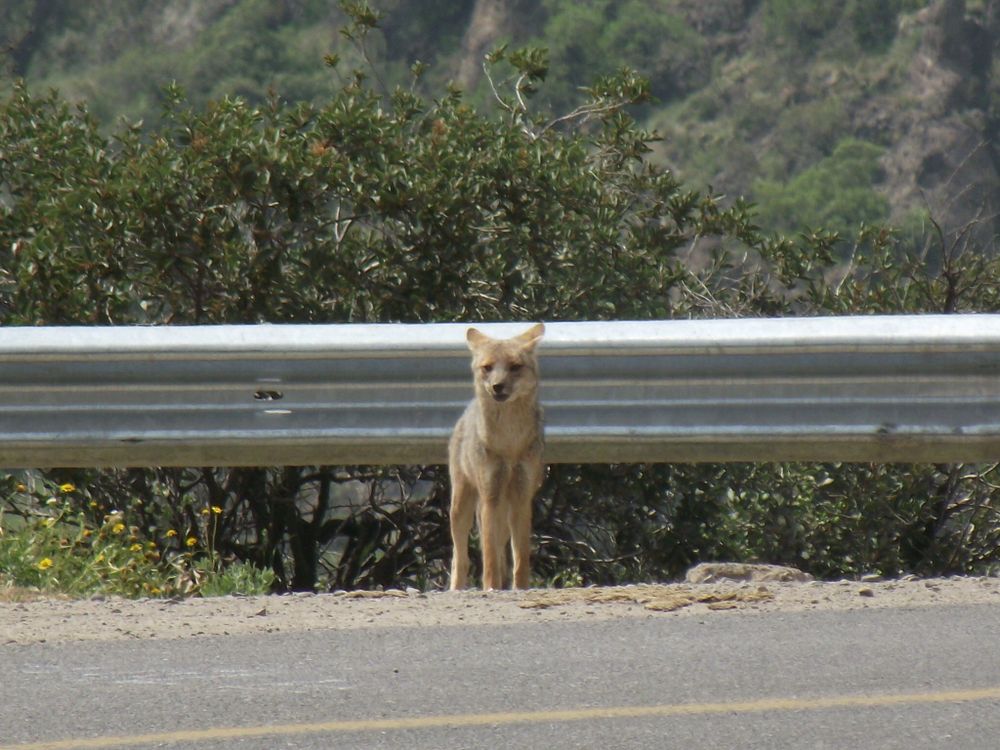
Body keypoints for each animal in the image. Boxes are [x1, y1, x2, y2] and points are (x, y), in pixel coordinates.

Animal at [448, 322, 545, 591]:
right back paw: (456, 588)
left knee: (501, 552)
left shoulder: (522, 497)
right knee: (460, 559)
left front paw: (520, 588)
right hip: (461, 507)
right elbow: (489, 557)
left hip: (503, 508)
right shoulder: (490, 496)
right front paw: (490, 588)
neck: (509, 444)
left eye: (514, 367)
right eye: (488, 368)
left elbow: (520, 557)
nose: (497, 386)